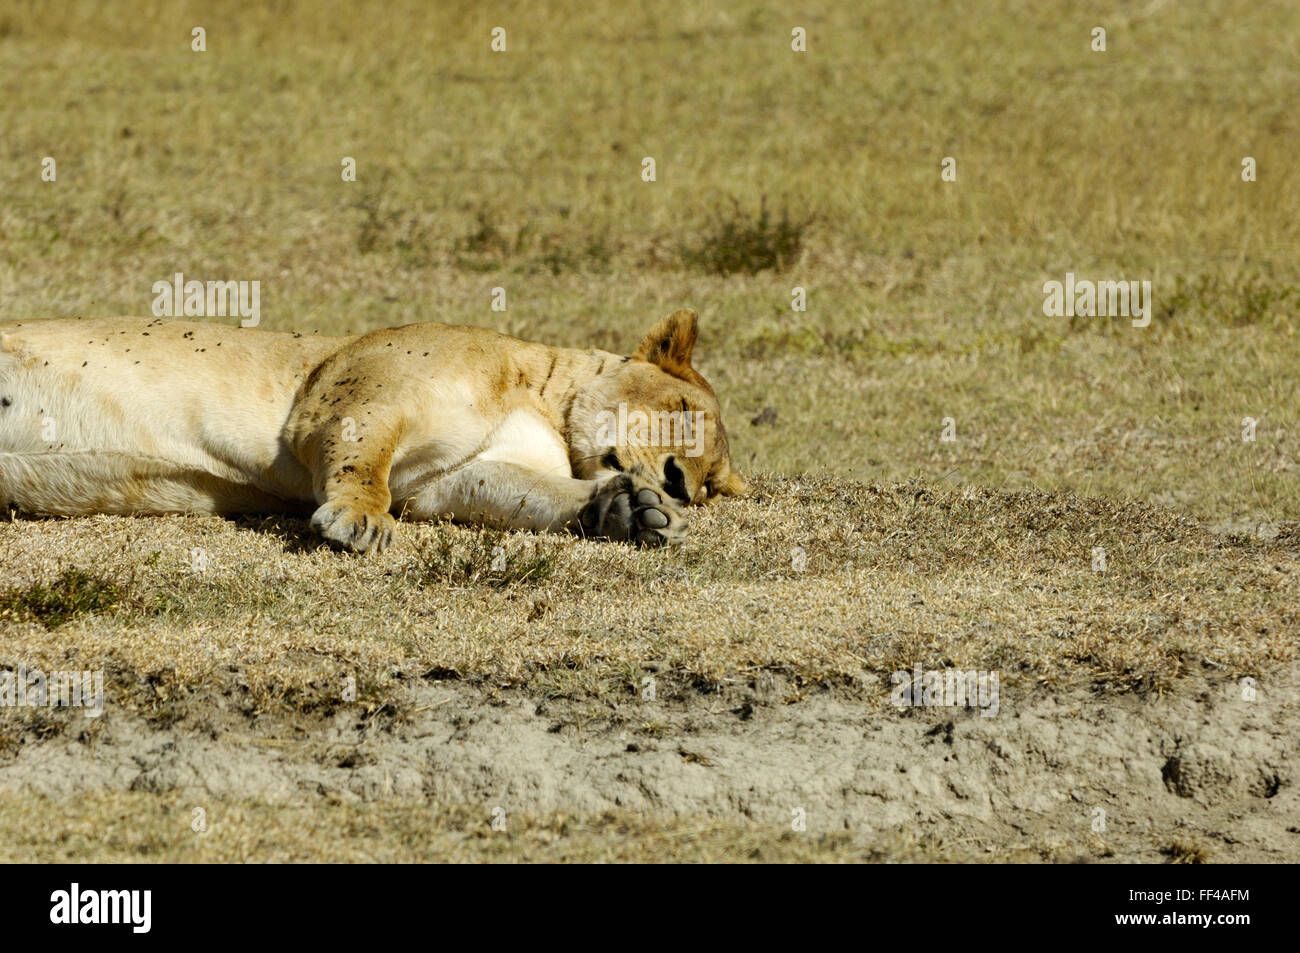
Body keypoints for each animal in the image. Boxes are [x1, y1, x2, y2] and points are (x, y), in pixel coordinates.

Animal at [0, 308, 745, 552]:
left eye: (709, 485)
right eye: (684, 412)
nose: (679, 483)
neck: (543, 401)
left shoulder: (446, 480)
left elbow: (523, 495)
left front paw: (631, 511)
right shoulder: (357, 386)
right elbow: (363, 459)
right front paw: (357, 520)